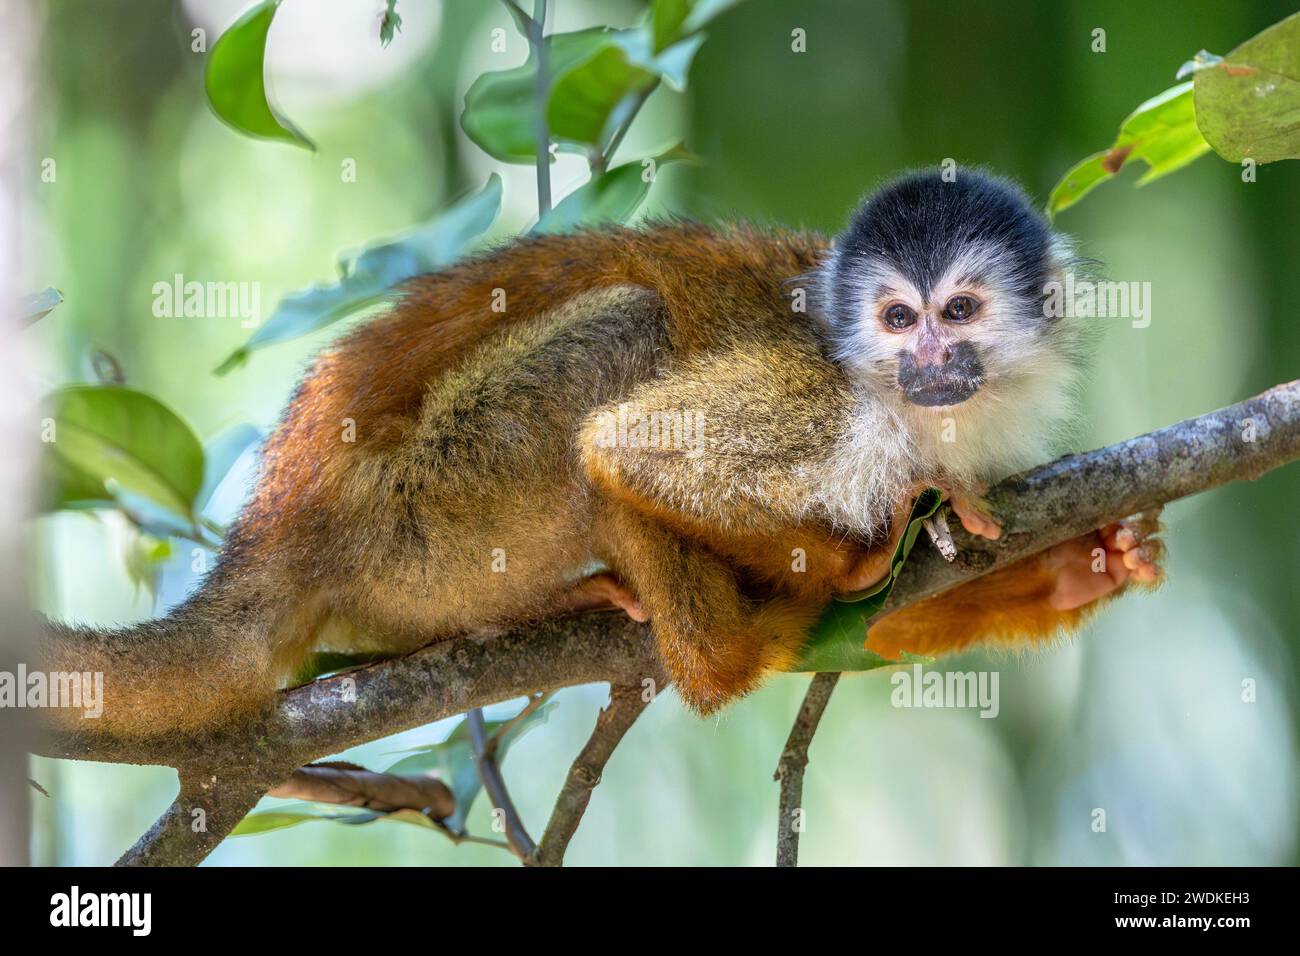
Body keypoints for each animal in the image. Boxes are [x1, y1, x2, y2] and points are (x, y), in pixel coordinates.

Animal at [43, 169, 1162, 739]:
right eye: (897, 319)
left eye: (958, 312)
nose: (929, 361)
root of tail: (277, 529)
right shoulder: (821, 403)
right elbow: (628, 448)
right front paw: (847, 561)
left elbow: (878, 630)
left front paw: (1083, 566)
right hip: (424, 522)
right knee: (624, 335)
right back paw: (719, 650)